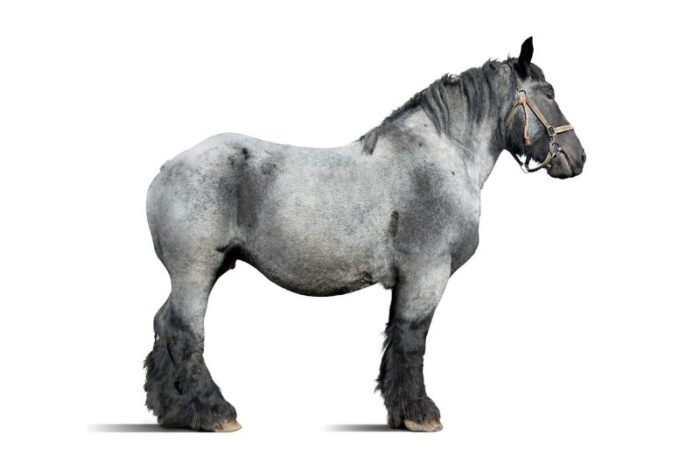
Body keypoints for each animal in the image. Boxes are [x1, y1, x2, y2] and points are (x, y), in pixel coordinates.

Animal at [144, 37, 586, 432]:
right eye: (548, 92)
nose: (577, 157)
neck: (441, 156)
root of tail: (166, 169)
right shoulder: (427, 275)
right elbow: (411, 339)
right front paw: (419, 414)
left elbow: (396, 338)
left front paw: (400, 411)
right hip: (195, 272)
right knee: (185, 333)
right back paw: (214, 412)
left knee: (165, 323)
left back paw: (172, 410)